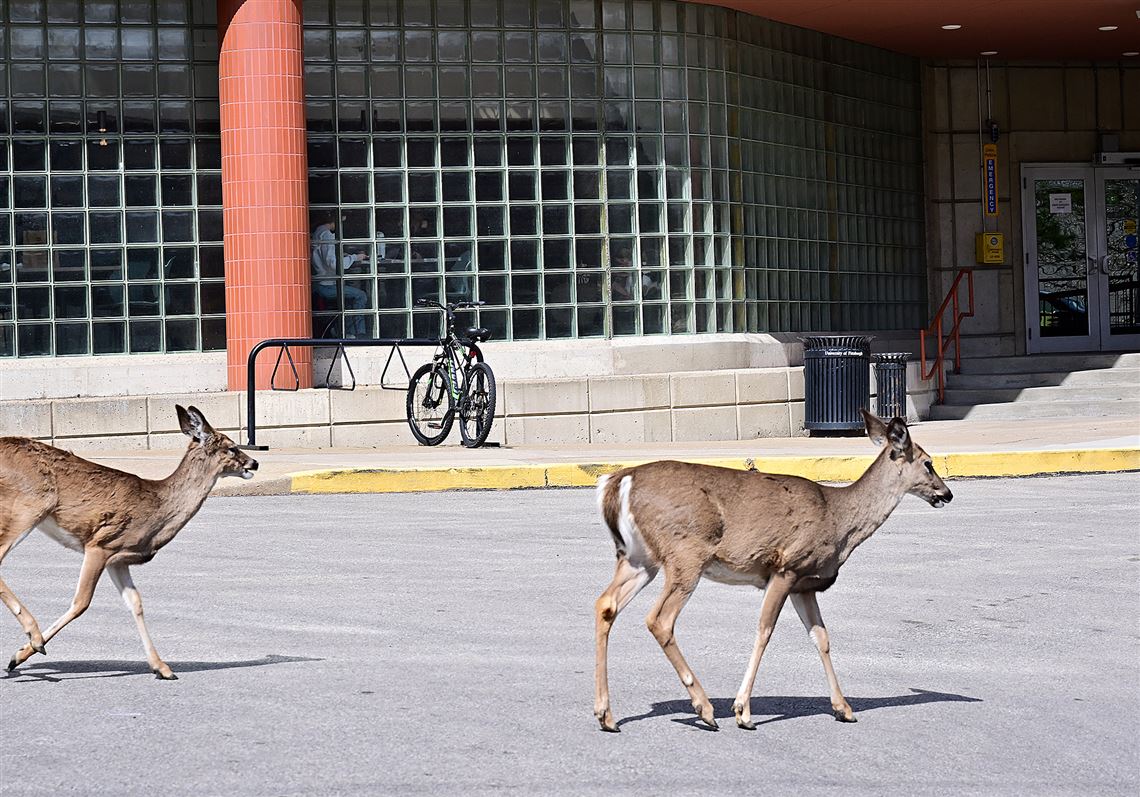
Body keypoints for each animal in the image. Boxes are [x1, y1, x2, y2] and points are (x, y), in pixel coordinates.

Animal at [0, 405, 258, 679]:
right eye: (231, 447)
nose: (254, 462)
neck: (157, 507)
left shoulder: (119, 558)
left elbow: (136, 603)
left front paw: (162, 668)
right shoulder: (99, 544)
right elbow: (81, 602)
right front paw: (23, 653)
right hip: (27, 507)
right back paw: (35, 636)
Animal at [593, 409, 953, 732]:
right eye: (928, 463)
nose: (946, 493)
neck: (838, 518)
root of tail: (618, 482)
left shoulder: (804, 584)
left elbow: (821, 637)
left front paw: (844, 708)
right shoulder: (786, 568)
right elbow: (765, 631)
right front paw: (743, 711)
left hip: (638, 558)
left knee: (606, 604)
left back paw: (606, 715)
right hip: (685, 554)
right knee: (659, 619)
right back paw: (704, 708)